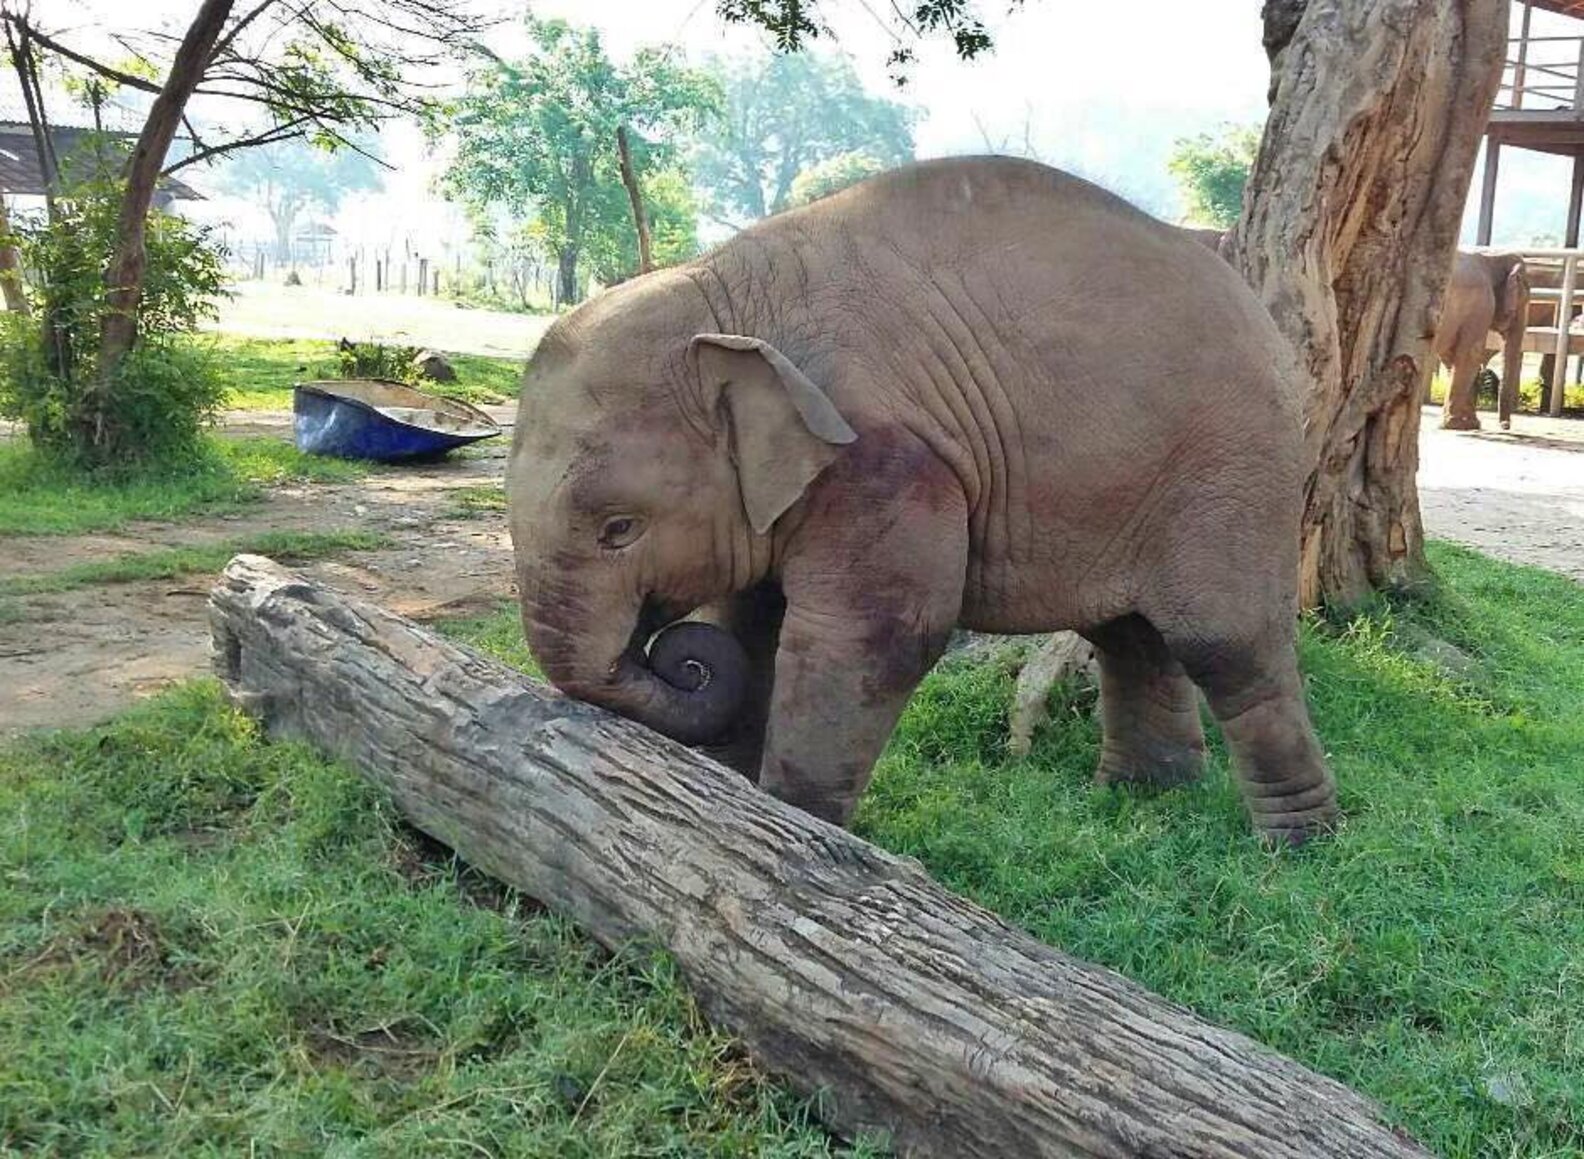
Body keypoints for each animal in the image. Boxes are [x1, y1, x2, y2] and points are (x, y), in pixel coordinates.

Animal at [508, 156, 1339, 845]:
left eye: (620, 528)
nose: (674, 659)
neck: (723, 294)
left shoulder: (886, 458)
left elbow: (874, 631)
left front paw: (795, 820)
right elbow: (748, 620)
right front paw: (740, 797)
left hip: (1234, 469)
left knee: (1226, 644)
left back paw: (1296, 844)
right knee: (1130, 637)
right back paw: (1140, 800)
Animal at [1433, 251, 1530, 431]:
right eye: (1525, 301)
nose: (1505, 426)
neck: (1491, 259)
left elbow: (1452, 357)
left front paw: (1472, 424)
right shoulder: (1481, 306)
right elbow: (1471, 355)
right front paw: (1456, 424)